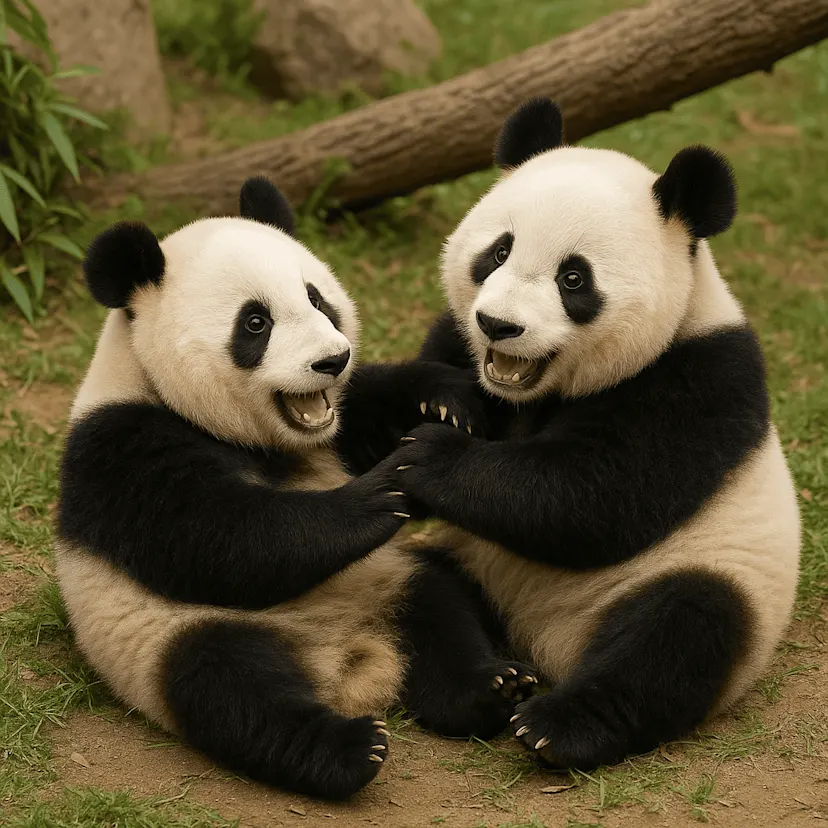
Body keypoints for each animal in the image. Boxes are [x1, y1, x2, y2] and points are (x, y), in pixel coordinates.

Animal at [54, 177, 537, 800]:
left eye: (317, 299)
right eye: (255, 323)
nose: (332, 360)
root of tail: (345, 659)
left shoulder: (336, 432)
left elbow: (370, 406)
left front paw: (445, 403)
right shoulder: (121, 444)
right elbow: (223, 538)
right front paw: (382, 493)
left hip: (386, 580)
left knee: (440, 606)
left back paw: (490, 688)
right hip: (168, 636)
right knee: (230, 687)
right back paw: (349, 748)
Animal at [389, 99, 801, 769]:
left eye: (573, 279)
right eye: (498, 252)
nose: (498, 325)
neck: (539, 392)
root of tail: (548, 642)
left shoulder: (700, 377)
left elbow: (593, 496)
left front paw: (434, 456)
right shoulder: (458, 338)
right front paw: (439, 408)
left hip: (714, 574)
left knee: (679, 634)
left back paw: (556, 724)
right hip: (469, 558)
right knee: (422, 592)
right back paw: (485, 689)